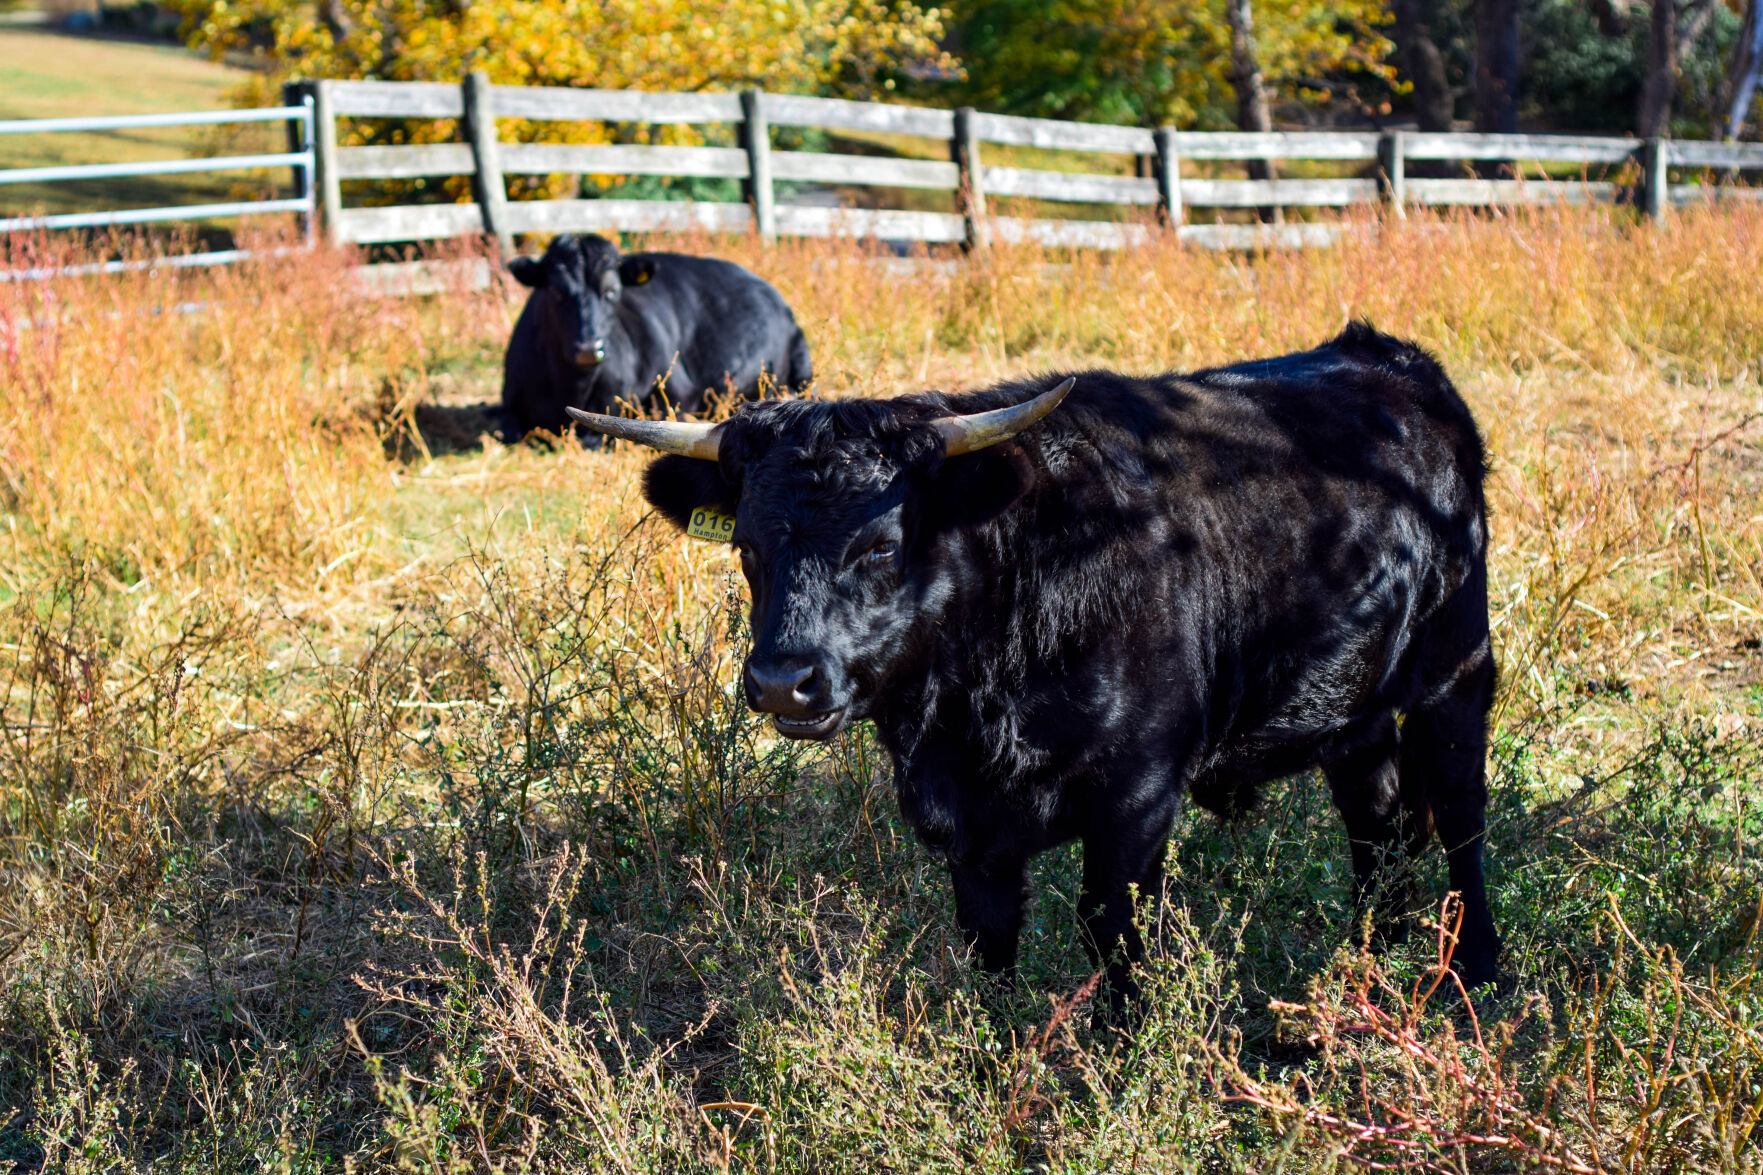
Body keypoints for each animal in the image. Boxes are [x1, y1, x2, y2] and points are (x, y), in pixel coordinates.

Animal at [567, 323, 1501, 1010]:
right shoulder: (966, 829)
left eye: (880, 543)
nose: (780, 681)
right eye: (747, 548)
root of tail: (1386, 358)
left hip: (1458, 667)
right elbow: (988, 946)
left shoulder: (1136, 799)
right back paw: (1369, 962)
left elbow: (1112, 934)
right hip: (1355, 709)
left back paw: (1474, 971)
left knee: (1458, 809)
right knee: (1378, 821)